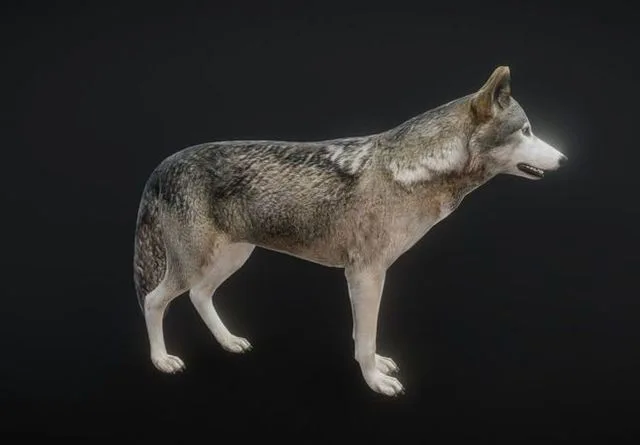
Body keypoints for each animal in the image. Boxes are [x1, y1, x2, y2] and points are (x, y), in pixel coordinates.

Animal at [133, 66, 567, 396]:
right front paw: (375, 381)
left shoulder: (367, 277)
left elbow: (363, 337)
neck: (410, 174)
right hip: (196, 263)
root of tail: (162, 165)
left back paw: (229, 341)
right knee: (155, 300)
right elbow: (367, 337)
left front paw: (377, 368)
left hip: (231, 258)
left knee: (200, 296)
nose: (564, 159)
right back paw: (161, 360)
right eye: (526, 131)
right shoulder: (366, 274)